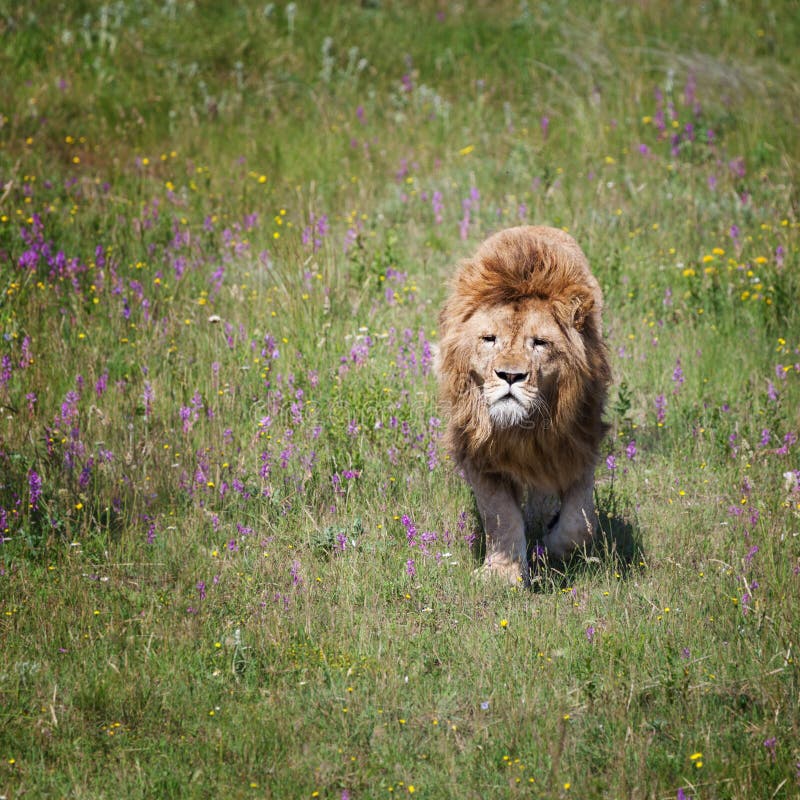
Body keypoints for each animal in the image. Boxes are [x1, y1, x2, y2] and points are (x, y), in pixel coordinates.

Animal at [436, 226, 610, 585]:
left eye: (540, 343)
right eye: (489, 339)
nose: (510, 375)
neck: (523, 429)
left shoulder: (580, 442)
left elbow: (579, 522)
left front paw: (554, 547)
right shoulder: (478, 453)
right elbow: (501, 516)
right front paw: (503, 575)